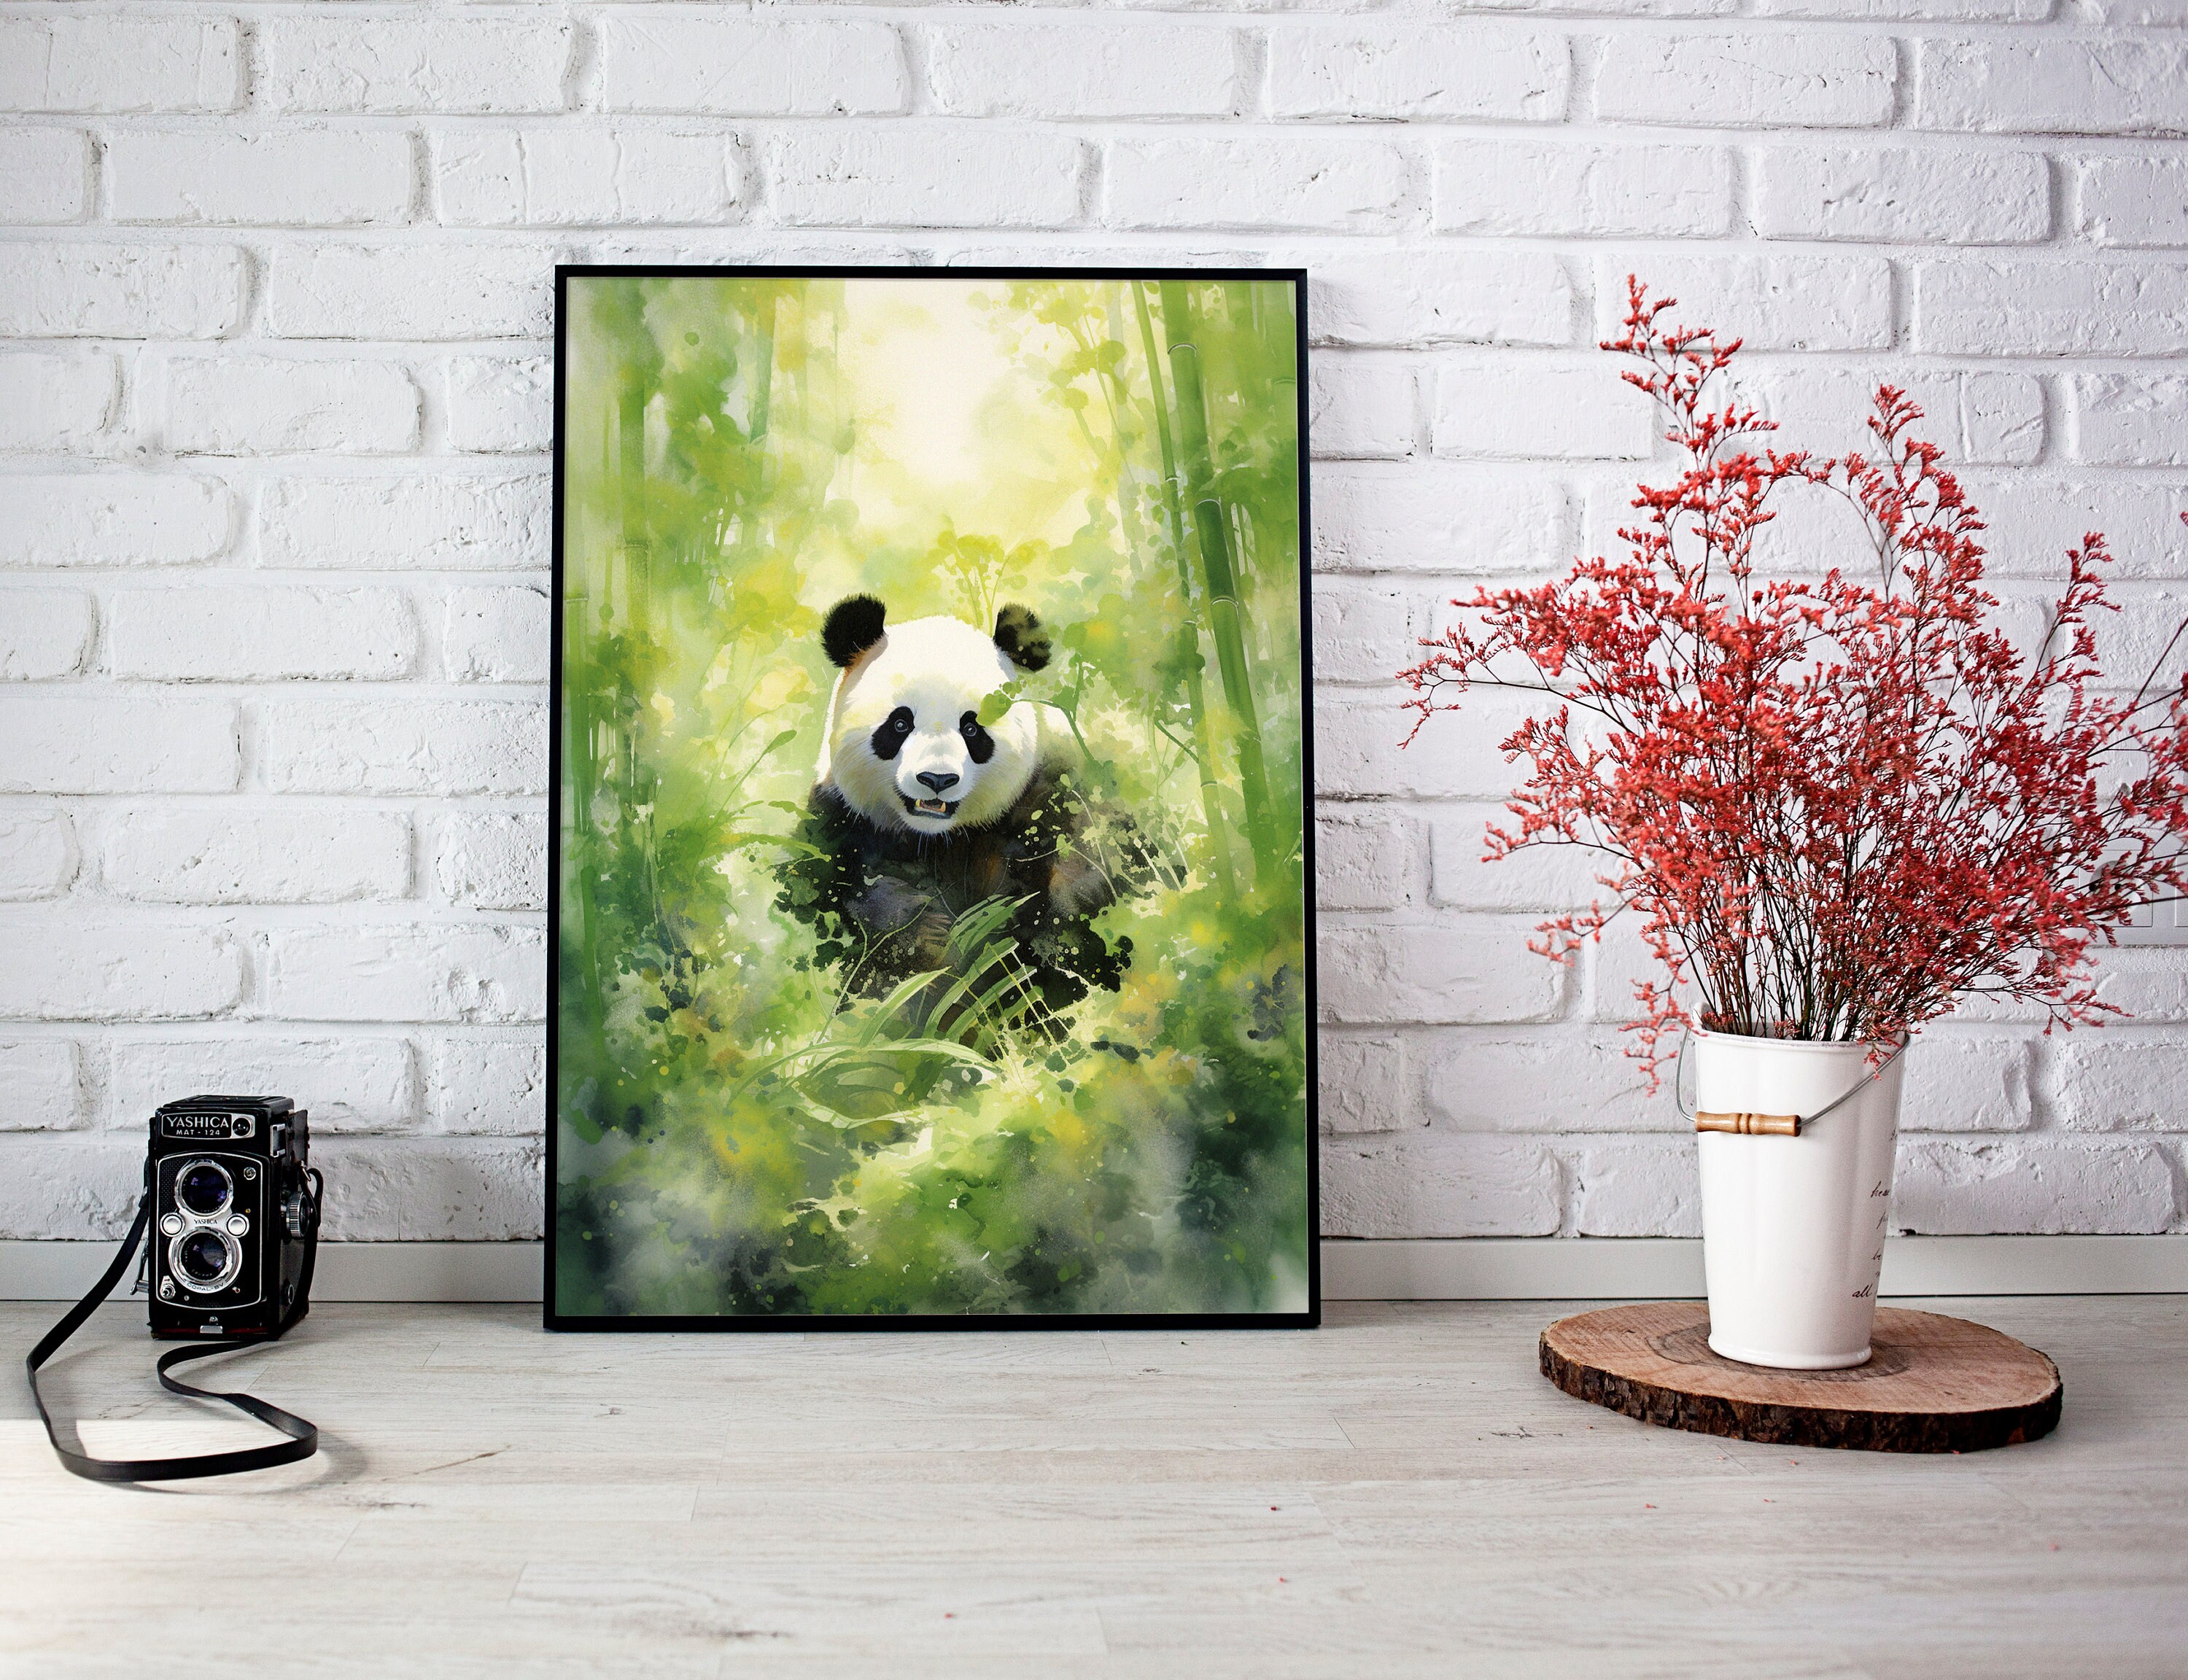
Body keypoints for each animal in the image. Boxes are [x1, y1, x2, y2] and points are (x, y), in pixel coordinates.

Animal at [776, 593, 1141, 1028]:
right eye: (899, 724)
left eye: (972, 728)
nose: (937, 779)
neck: (937, 838)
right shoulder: (841, 821)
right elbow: (829, 895)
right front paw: (928, 931)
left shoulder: (1051, 793)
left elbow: (1090, 868)